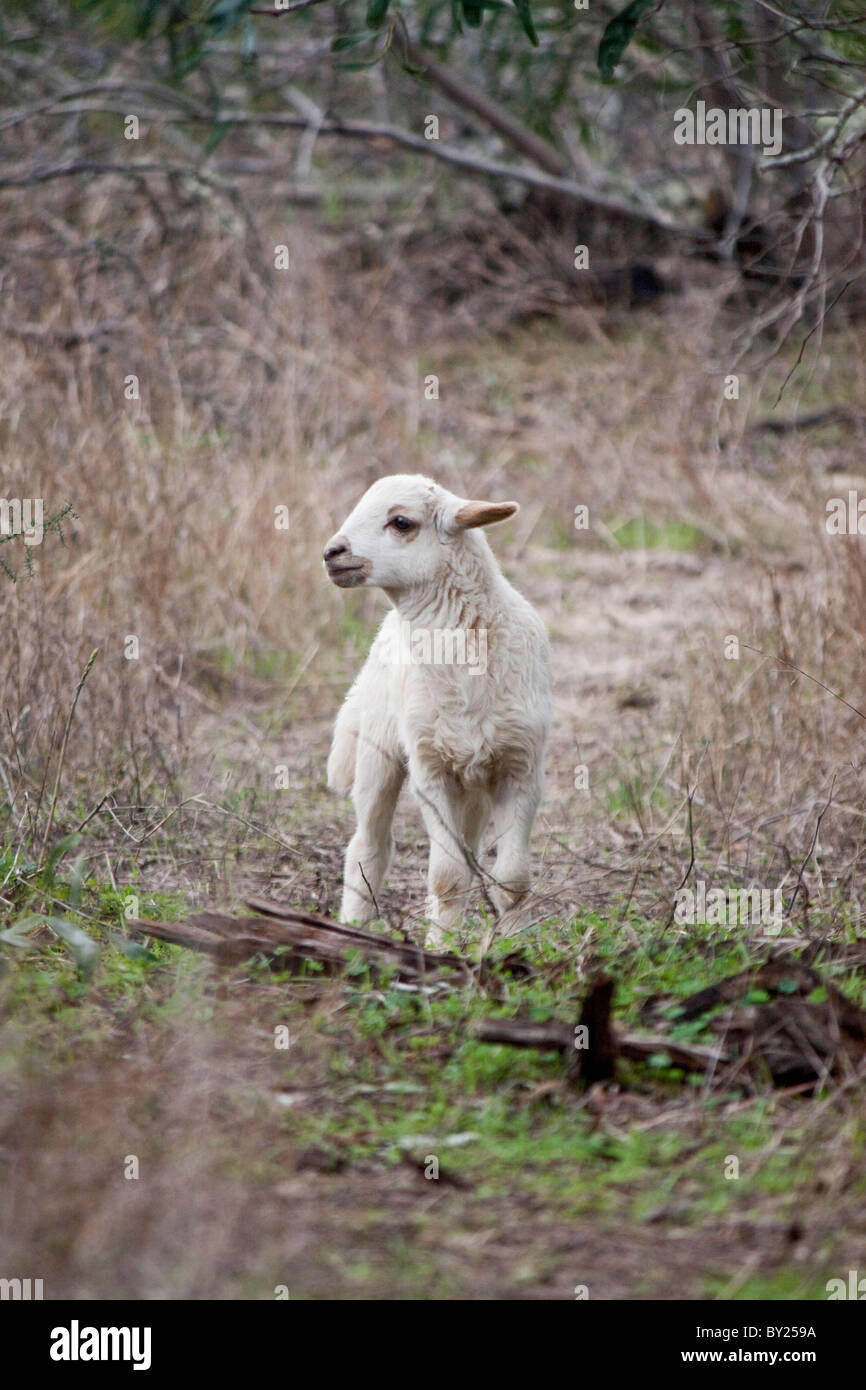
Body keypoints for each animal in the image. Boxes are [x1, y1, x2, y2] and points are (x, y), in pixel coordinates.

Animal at [323, 474, 550, 947]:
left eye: (401, 522)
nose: (331, 553)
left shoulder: (521, 767)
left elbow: (512, 880)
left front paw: (515, 947)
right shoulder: (430, 772)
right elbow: (447, 877)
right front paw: (439, 948)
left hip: (474, 782)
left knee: (469, 849)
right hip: (378, 754)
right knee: (367, 848)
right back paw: (352, 929)